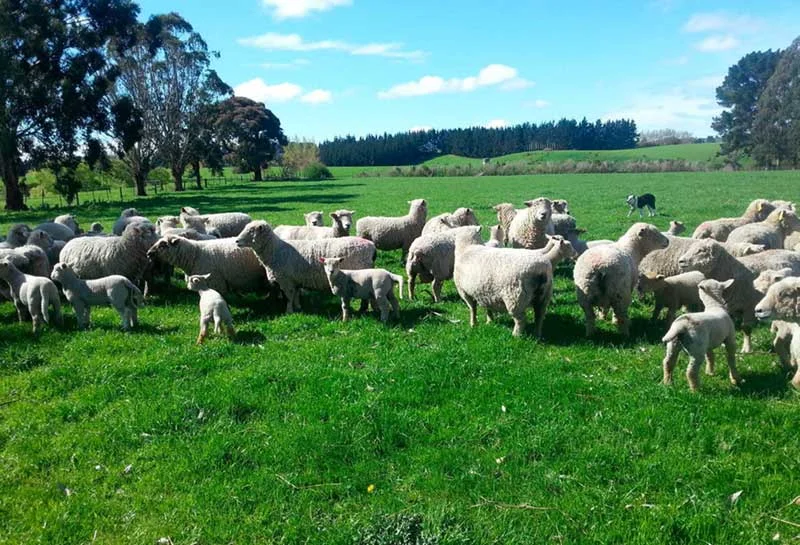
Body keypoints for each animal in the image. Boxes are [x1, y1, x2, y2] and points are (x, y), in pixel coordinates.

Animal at [236, 221, 377, 313]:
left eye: (251, 231)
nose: (236, 241)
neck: (275, 251)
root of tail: (371, 246)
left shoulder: (286, 280)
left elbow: (289, 297)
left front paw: (289, 311)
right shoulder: (295, 279)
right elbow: (295, 295)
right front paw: (298, 307)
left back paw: (362, 309)